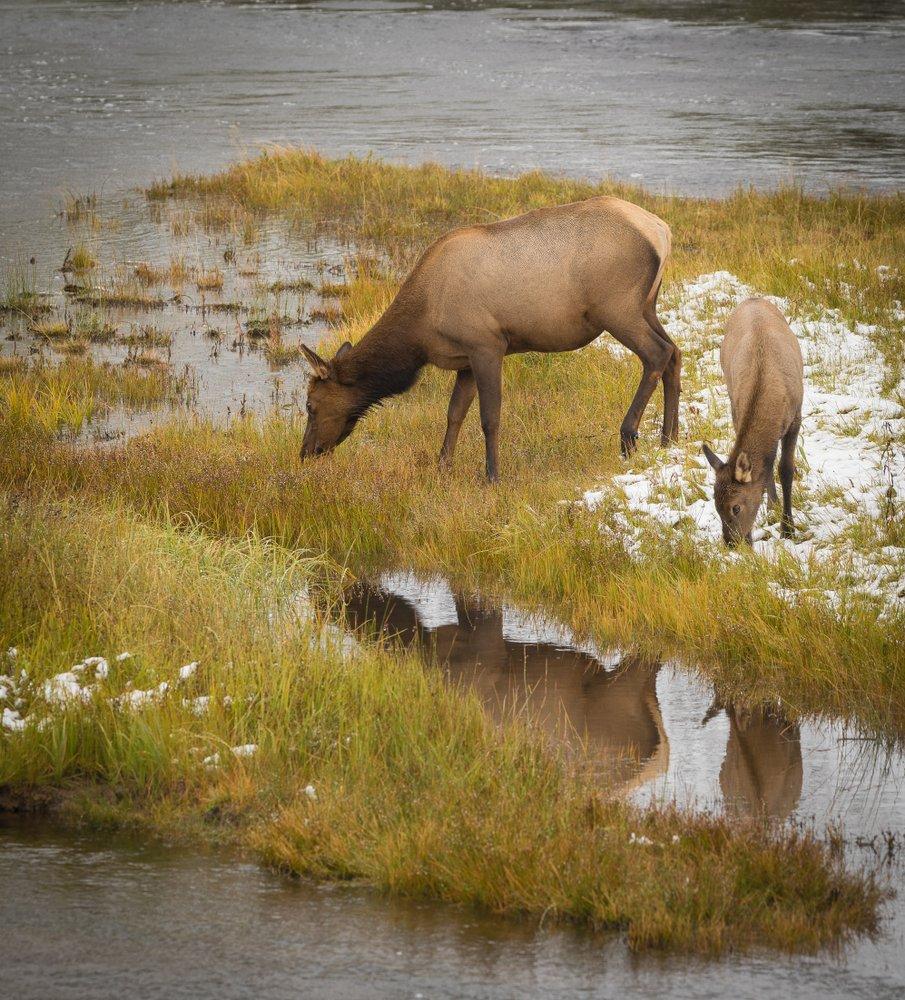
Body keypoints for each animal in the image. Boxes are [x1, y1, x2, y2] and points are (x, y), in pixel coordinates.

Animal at [300, 194, 676, 480]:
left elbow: (489, 417)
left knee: (657, 354)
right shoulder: (465, 359)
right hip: (647, 305)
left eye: (310, 405)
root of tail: (662, 230)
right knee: (675, 351)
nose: (305, 453)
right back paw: (668, 437)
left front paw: (492, 475)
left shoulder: (487, 345)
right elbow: (454, 413)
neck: (419, 332)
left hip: (618, 308)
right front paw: (442, 467)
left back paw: (628, 437)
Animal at [704, 296, 800, 548]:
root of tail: (751, 299)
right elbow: (766, 469)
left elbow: (786, 469)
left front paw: (788, 529)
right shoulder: (737, 412)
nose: (732, 543)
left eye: (736, 507)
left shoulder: (796, 417)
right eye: (716, 507)